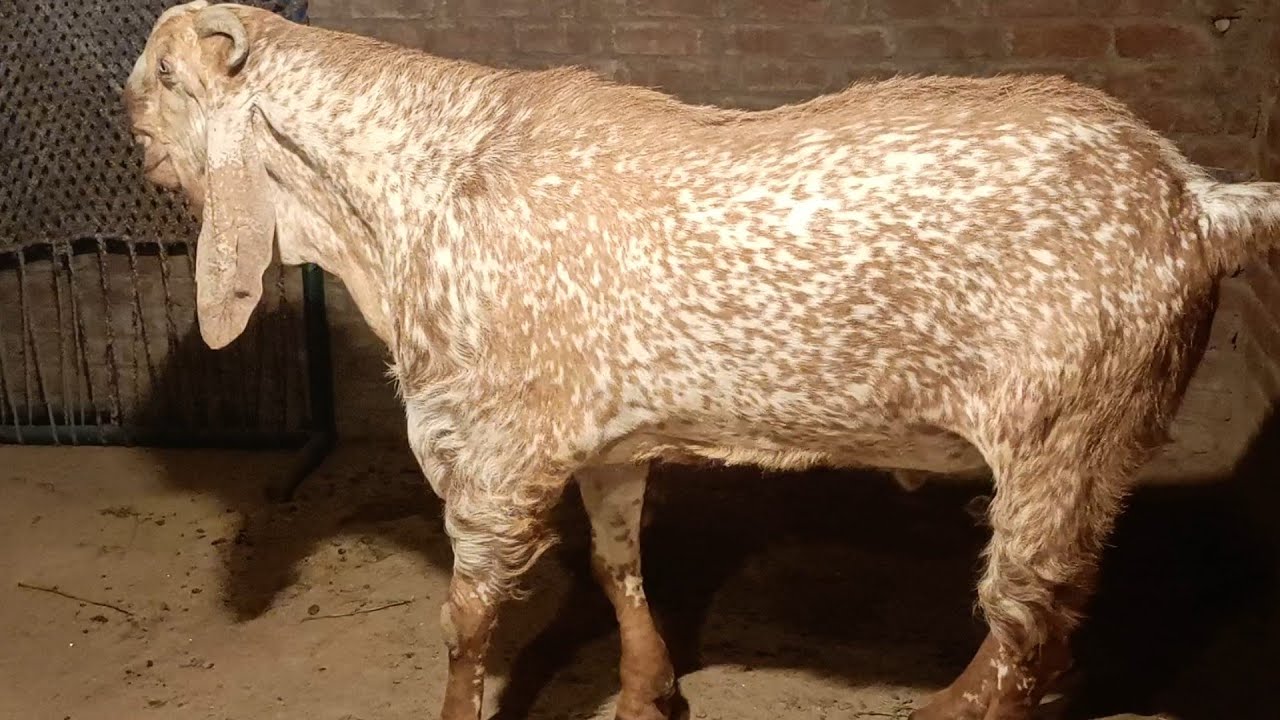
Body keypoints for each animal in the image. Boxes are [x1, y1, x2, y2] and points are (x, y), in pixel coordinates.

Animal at [124, 3, 1280, 719]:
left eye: (164, 78)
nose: (136, 138)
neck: (420, 184)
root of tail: (1197, 204)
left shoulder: (496, 451)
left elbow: (466, 619)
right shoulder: (601, 440)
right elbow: (618, 560)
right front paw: (647, 690)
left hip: (1061, 438)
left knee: (1026, 622)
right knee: (1052, 625)